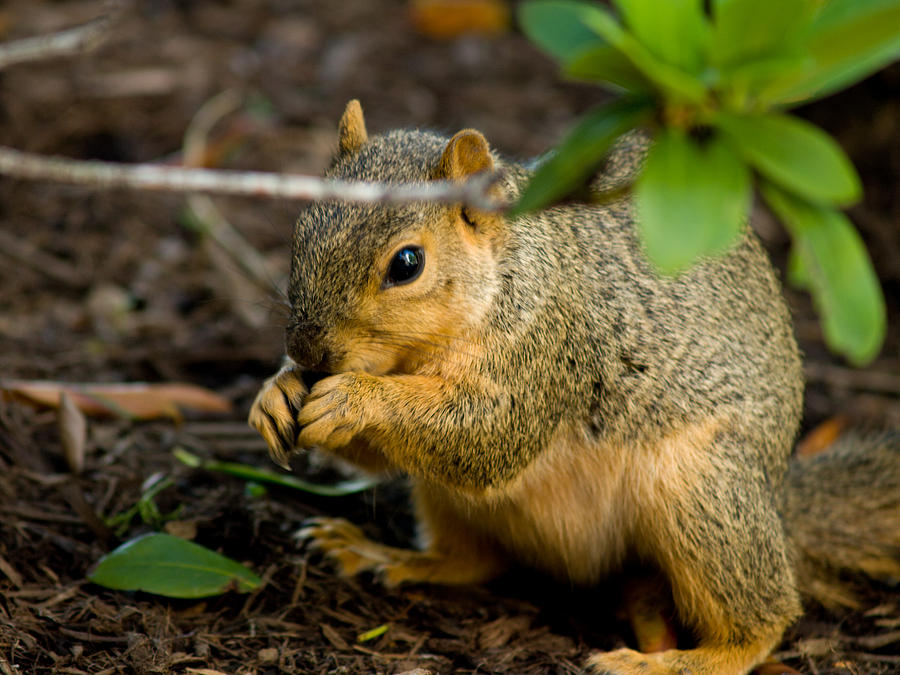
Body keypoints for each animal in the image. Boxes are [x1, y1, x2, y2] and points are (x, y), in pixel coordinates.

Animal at [248, 100, 900, 675]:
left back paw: (678, 661)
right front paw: (274, 394)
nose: (309, 352)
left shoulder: (549, 345)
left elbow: (487, 434)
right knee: (471, 560)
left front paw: (354, 398)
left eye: (408, 264)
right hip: (445, 500)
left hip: (702, 490)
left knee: (763, 618)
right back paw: (381, 555)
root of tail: (779, 500)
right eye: (301, 228)